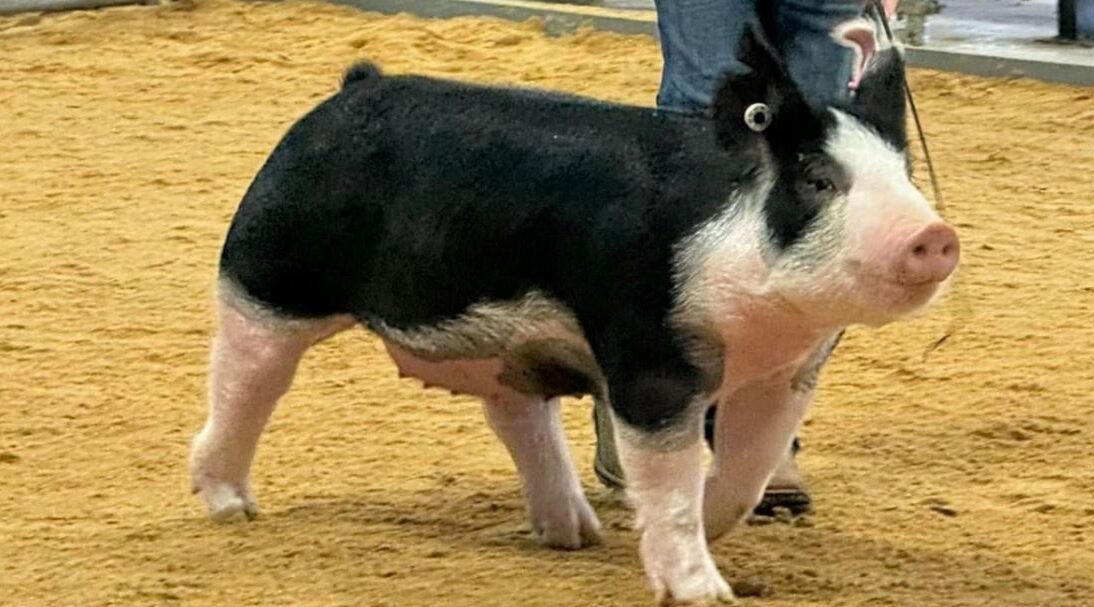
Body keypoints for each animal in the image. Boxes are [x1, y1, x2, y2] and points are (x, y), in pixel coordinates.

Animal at [190, 17, 958, 604]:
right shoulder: (647, 353)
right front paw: (706, 593)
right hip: (265, 273)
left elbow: (746, 475)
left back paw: (575, 535)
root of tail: (355, 86)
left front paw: (709, 526)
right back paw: (231, 508)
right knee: (244, 380)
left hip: (506, 343)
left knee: (518, 414)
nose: (935, 235)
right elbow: (668, 473)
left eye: (905, 175)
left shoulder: (786, 375)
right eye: (819, 181)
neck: (758, 321)